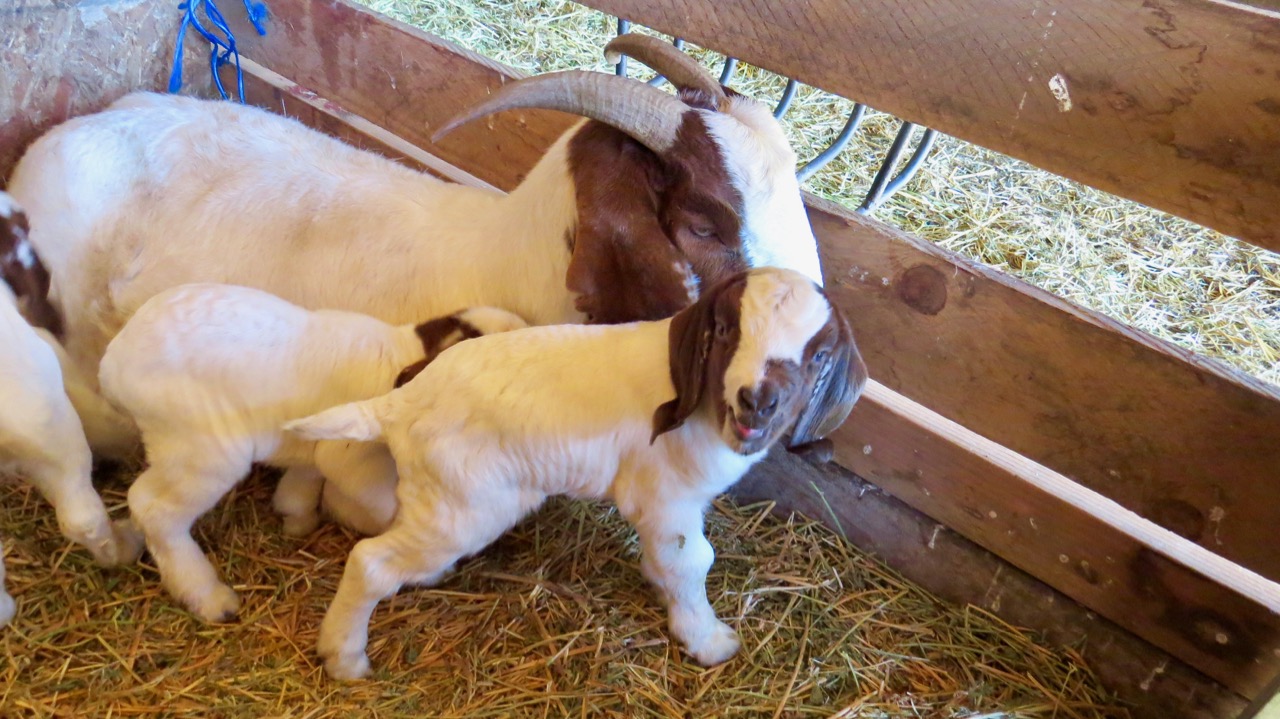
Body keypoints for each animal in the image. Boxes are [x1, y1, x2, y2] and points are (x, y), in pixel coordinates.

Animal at [99, 283, 526, 623]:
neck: (399, 353)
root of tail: (112, 368)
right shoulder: (352, 459)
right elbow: (382, 508)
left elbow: (303, 480)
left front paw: (296, 519)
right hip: (202, 453)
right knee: (154, 509)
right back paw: (210, 599)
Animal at [286, 267, 868, 679]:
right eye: (725, 329)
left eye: (820, 355)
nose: (758, 402)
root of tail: (401, 402)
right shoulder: (666, 497)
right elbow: (692, 561)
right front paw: (707, 639)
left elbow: (667, 561)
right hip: (468, 509)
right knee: (370, 563)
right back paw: (344, 657)